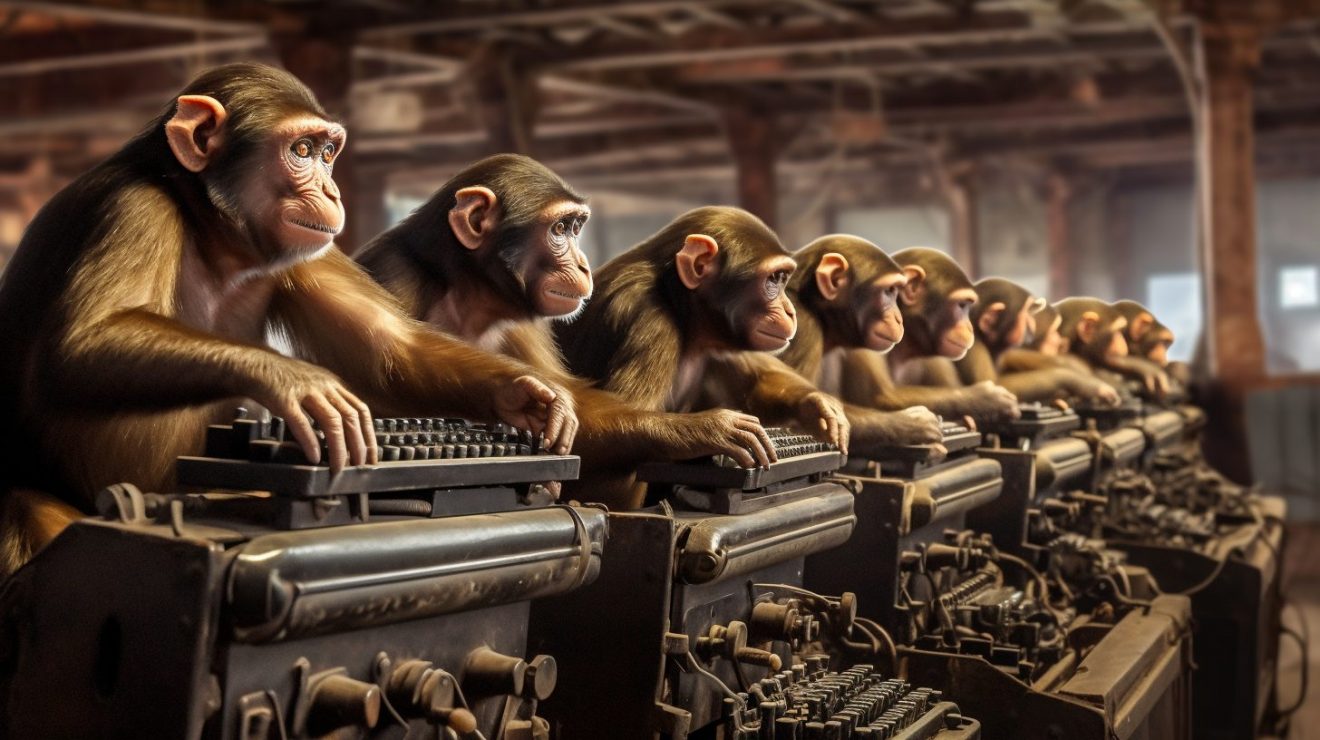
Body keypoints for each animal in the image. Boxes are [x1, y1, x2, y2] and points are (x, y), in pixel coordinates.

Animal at [0, 64, 577, 577]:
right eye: (301, 151)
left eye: (327, 153)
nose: (331, 190)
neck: (207, 222)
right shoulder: (132, 211)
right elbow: (81, 343)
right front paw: (297, 382)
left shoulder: (310, 249)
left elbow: (391, 349)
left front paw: (531, 398)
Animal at [357, 155, 780, 508]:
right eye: (560, 229)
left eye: (577, 228)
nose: (581, 262)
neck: (466, 289)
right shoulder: (394, 275)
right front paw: (707, 428)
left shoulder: (525, 323)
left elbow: (576, 401)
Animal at [555, 206, 850, 484]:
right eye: (774, 279)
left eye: (784, 277)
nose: (790, 310)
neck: (679, 303)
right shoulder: (646, 321)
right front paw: (713, 428)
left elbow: (756, 378)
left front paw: (820, 405)